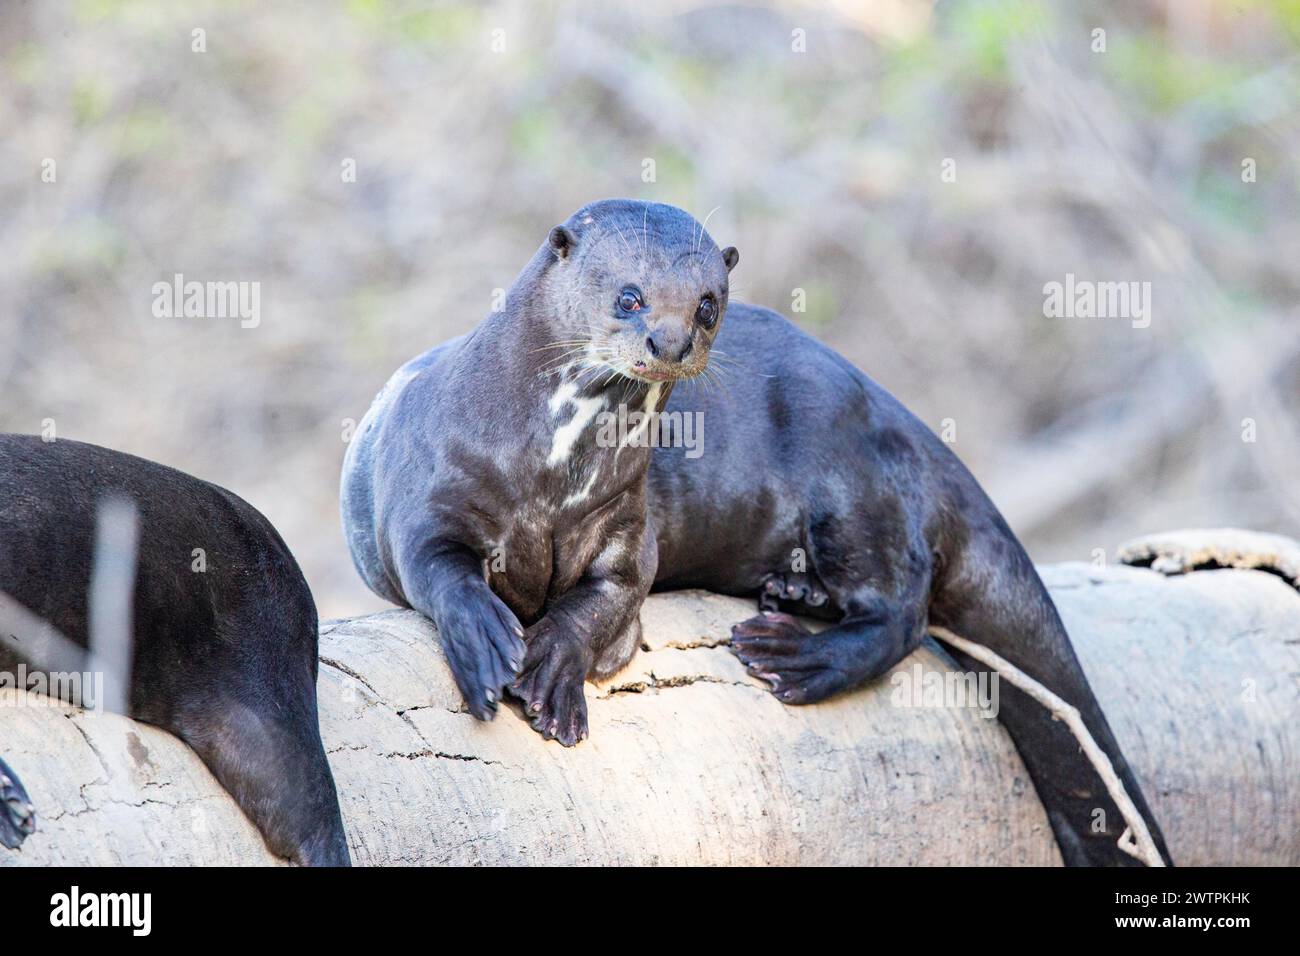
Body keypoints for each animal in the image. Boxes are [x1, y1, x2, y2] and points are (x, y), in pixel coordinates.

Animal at [341, 199, 1170, 866]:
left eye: (709, 303)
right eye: (629, 294)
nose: (671, 340)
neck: (549, 478)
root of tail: (902, 418)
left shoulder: (626, 527)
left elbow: (611, 596)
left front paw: (554, 668)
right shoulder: (422, 490)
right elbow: (433, 565)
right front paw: (486, 640)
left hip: (856, 484)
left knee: (904, 607)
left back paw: (799, 655)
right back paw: (793, 595)